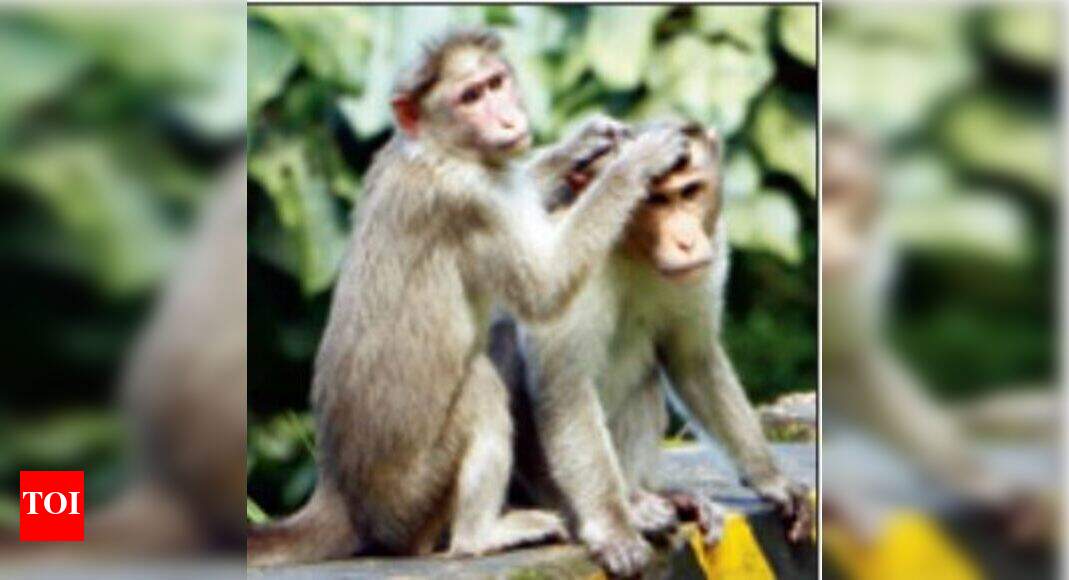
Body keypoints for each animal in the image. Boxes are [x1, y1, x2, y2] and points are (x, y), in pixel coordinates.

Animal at [246, 29, 691, 569]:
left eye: (495, 83)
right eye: (470, 97)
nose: (507, 120)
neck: (440, 149)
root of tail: (342, 497)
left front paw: (578, 146)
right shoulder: (471, 202)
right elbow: (544, 287)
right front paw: (634, 165)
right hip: (414, 502)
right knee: (481, 385)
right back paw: (481, 536)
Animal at [494, 119, 814, 577]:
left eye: (690, 191)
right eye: (656, 200)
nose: (686, 242)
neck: (631, 246)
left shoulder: (711, 251)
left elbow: (692, 359)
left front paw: (771, 477)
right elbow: (563, 384)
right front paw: (612, 526)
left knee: (645, 380)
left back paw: (660, 497)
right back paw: (630, 506)